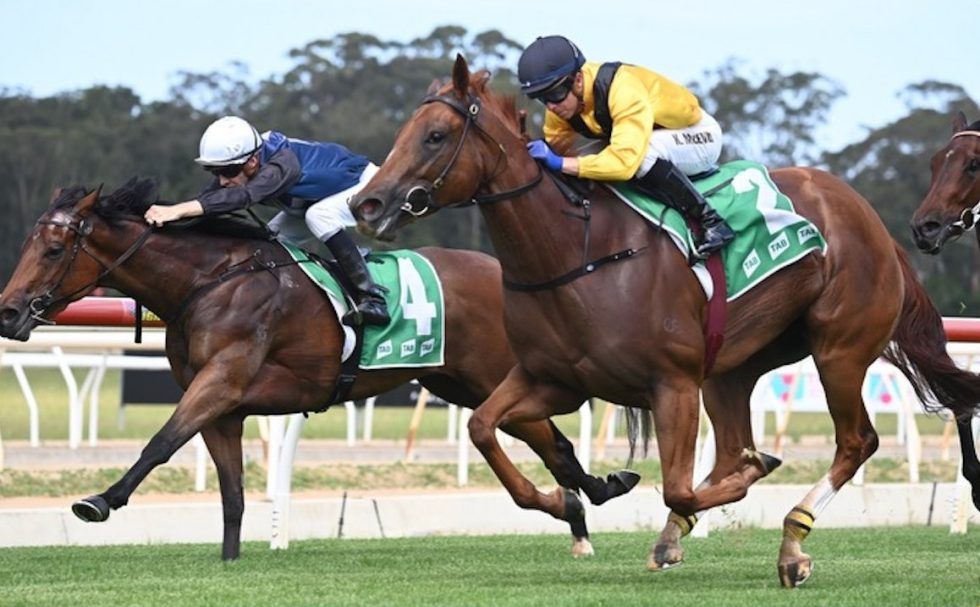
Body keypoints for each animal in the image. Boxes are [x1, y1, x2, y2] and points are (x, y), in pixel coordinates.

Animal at [0, 177, 639, 560]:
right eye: (29, 243)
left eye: (53, 250)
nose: (8, 312)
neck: (208, 282)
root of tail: (506, 275)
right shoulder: (225, 408)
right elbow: (232, 491)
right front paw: (230, 560)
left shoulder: (220, 382)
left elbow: (160, 441)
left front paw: (100, 501)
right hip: (455, 382)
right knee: (553, 443)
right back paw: (588, 503)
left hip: (488, 377)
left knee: (548, 440)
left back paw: (584, 502)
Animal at [349, 55, 980, 587]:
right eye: (406, 132)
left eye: (435, 135)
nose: (367, 204)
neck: (576, 253)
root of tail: (870, 219)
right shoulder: (552, 379)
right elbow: (484, 428)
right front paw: (572, 497)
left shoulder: (671, 384)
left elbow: (678, 485)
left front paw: (739, 480)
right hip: (734, 367)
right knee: (732, 447)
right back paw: (686, 528)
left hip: (838, 349)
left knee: (855, 441)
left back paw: (791, 541)